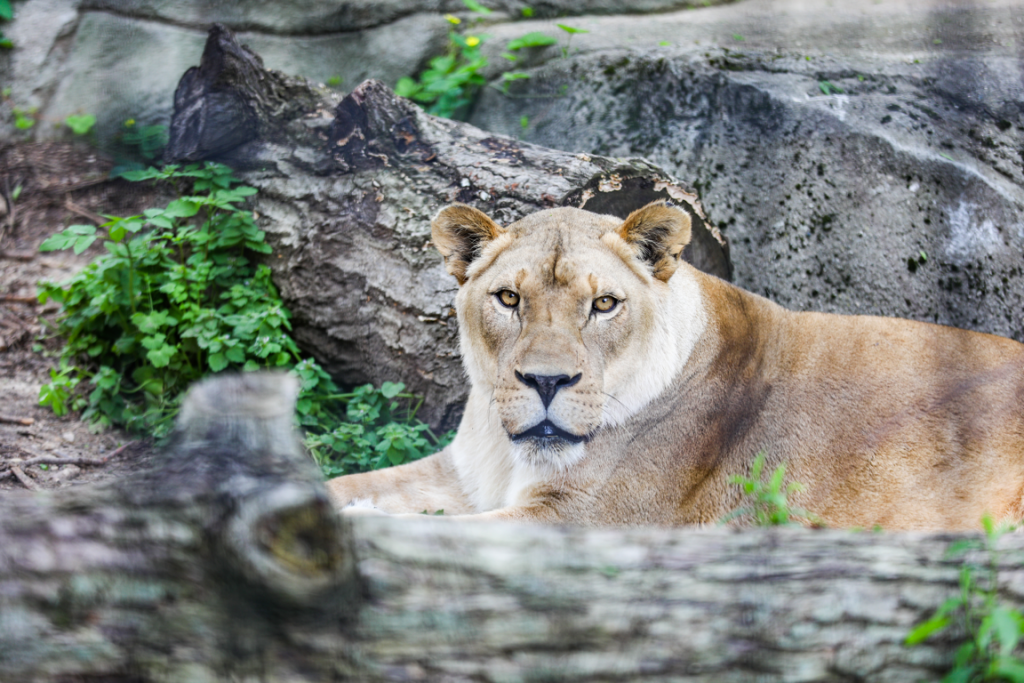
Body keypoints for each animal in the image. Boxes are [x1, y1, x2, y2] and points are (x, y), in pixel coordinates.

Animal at [325, 200, 1024, 530]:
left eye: (604, 304)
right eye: (508, 299)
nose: (547, 382)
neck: (508, 450)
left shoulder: (582, 520)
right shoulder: (458, 475)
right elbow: (350, 485)